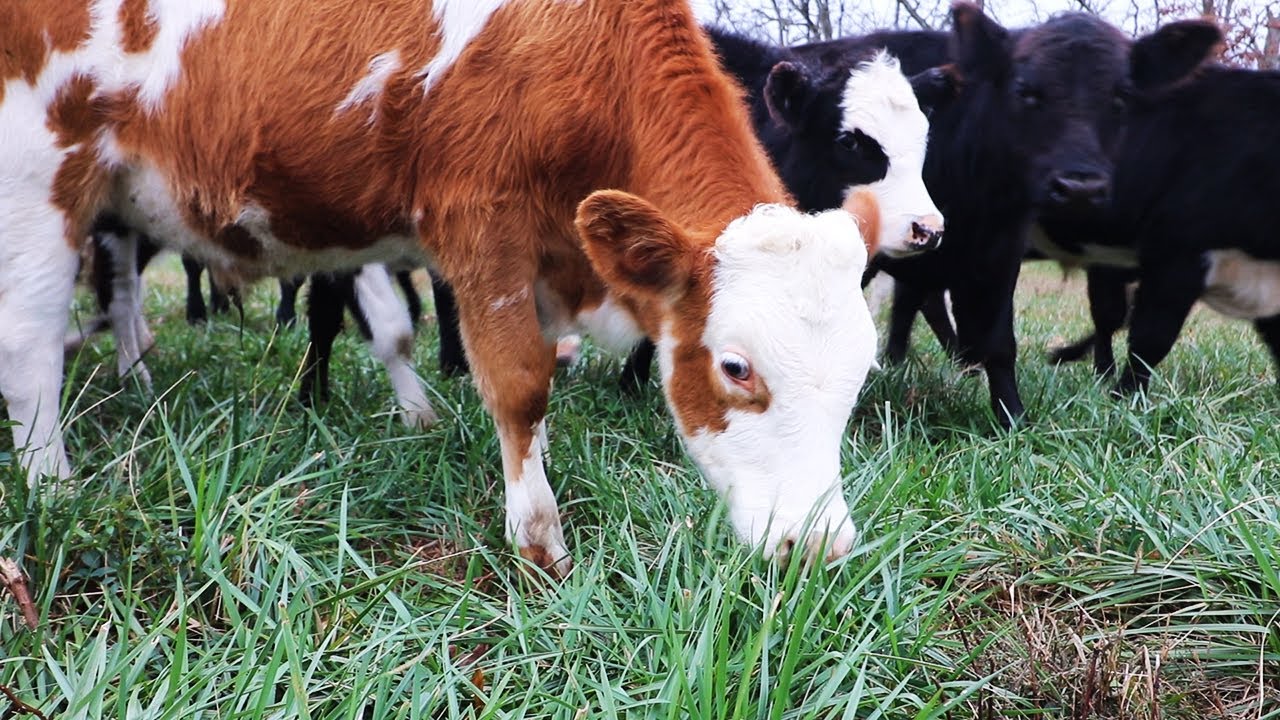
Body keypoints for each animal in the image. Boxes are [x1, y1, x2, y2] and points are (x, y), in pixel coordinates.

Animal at [0, 0, 935, 572]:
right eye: (735, 368)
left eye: (858, 375)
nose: (819, 546)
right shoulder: (480, 222)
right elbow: (519, 384)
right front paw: (539, 541)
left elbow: (414, 333)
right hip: (43, 162)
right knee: (32, 339)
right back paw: (54, 484)